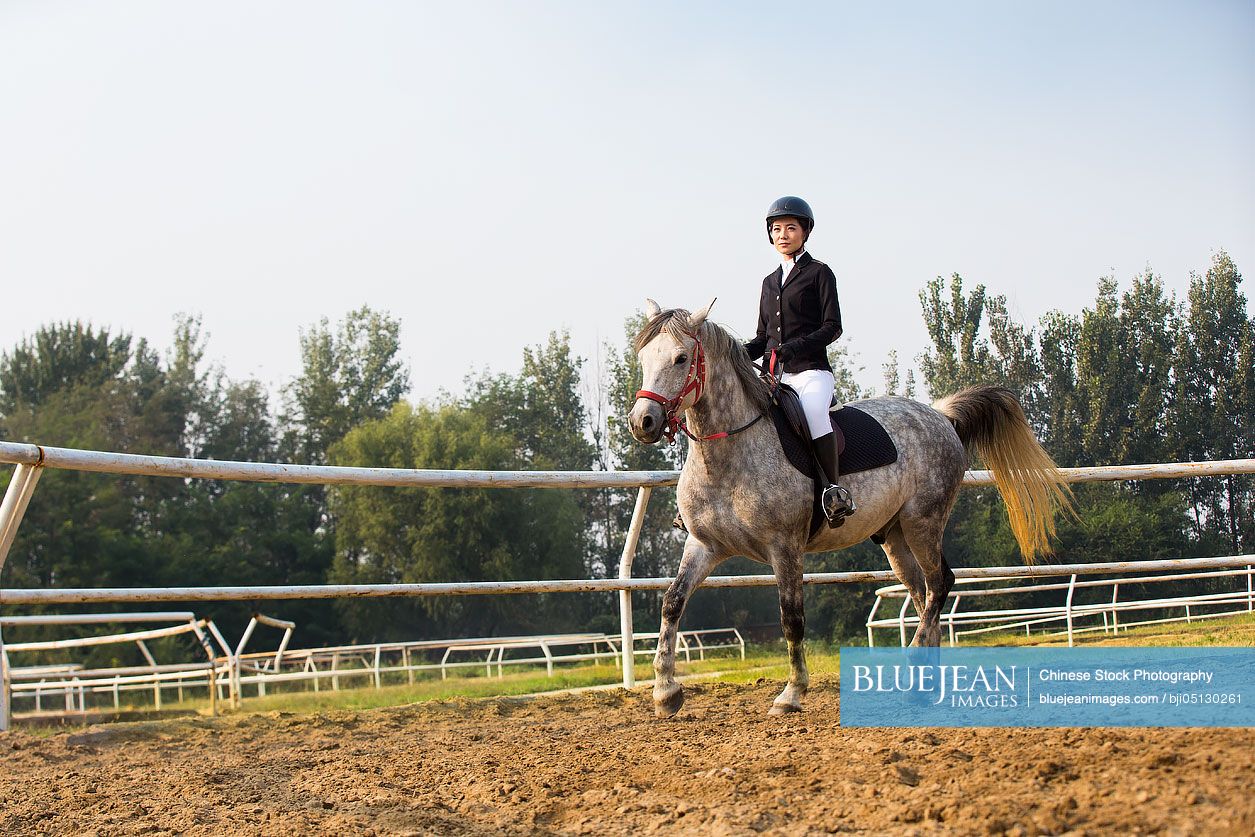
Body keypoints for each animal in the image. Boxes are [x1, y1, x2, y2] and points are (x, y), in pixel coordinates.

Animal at [628, 299, 1072, 718]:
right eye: (644, 357)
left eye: (681, 358)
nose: (642, 421)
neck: (728, 456)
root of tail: (941, 416)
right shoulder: (704, 545)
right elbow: (672, 603)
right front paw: (665, 693)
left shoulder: (785, 548)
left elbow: (791, 618)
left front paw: (792, 694)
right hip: (895, 536)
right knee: (923, 592)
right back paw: (927, 679)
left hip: (923, 522)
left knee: (940, 583)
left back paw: (916, 674)